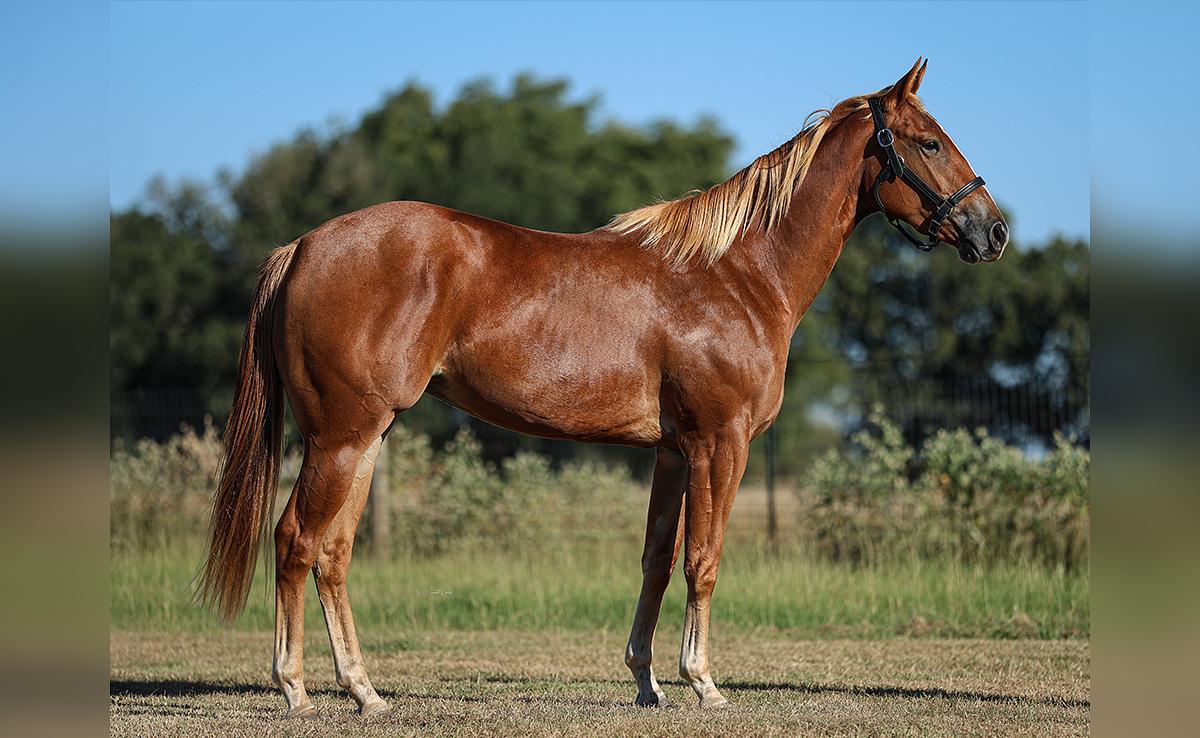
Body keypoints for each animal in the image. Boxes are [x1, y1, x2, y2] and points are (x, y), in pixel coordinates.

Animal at [198, 59, 1008, 719]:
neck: (737, 275)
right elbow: (703, 560)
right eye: (929, 143)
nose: (992, 231)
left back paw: (365, 692)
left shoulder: (674, 453)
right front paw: (704, 683)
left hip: (365, 439)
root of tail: (304, 246)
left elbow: (656, 561)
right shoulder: (721, 444)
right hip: (341, 437)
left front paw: (648, 682)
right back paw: (296, 690)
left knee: (333, 553)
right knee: (296, 541)